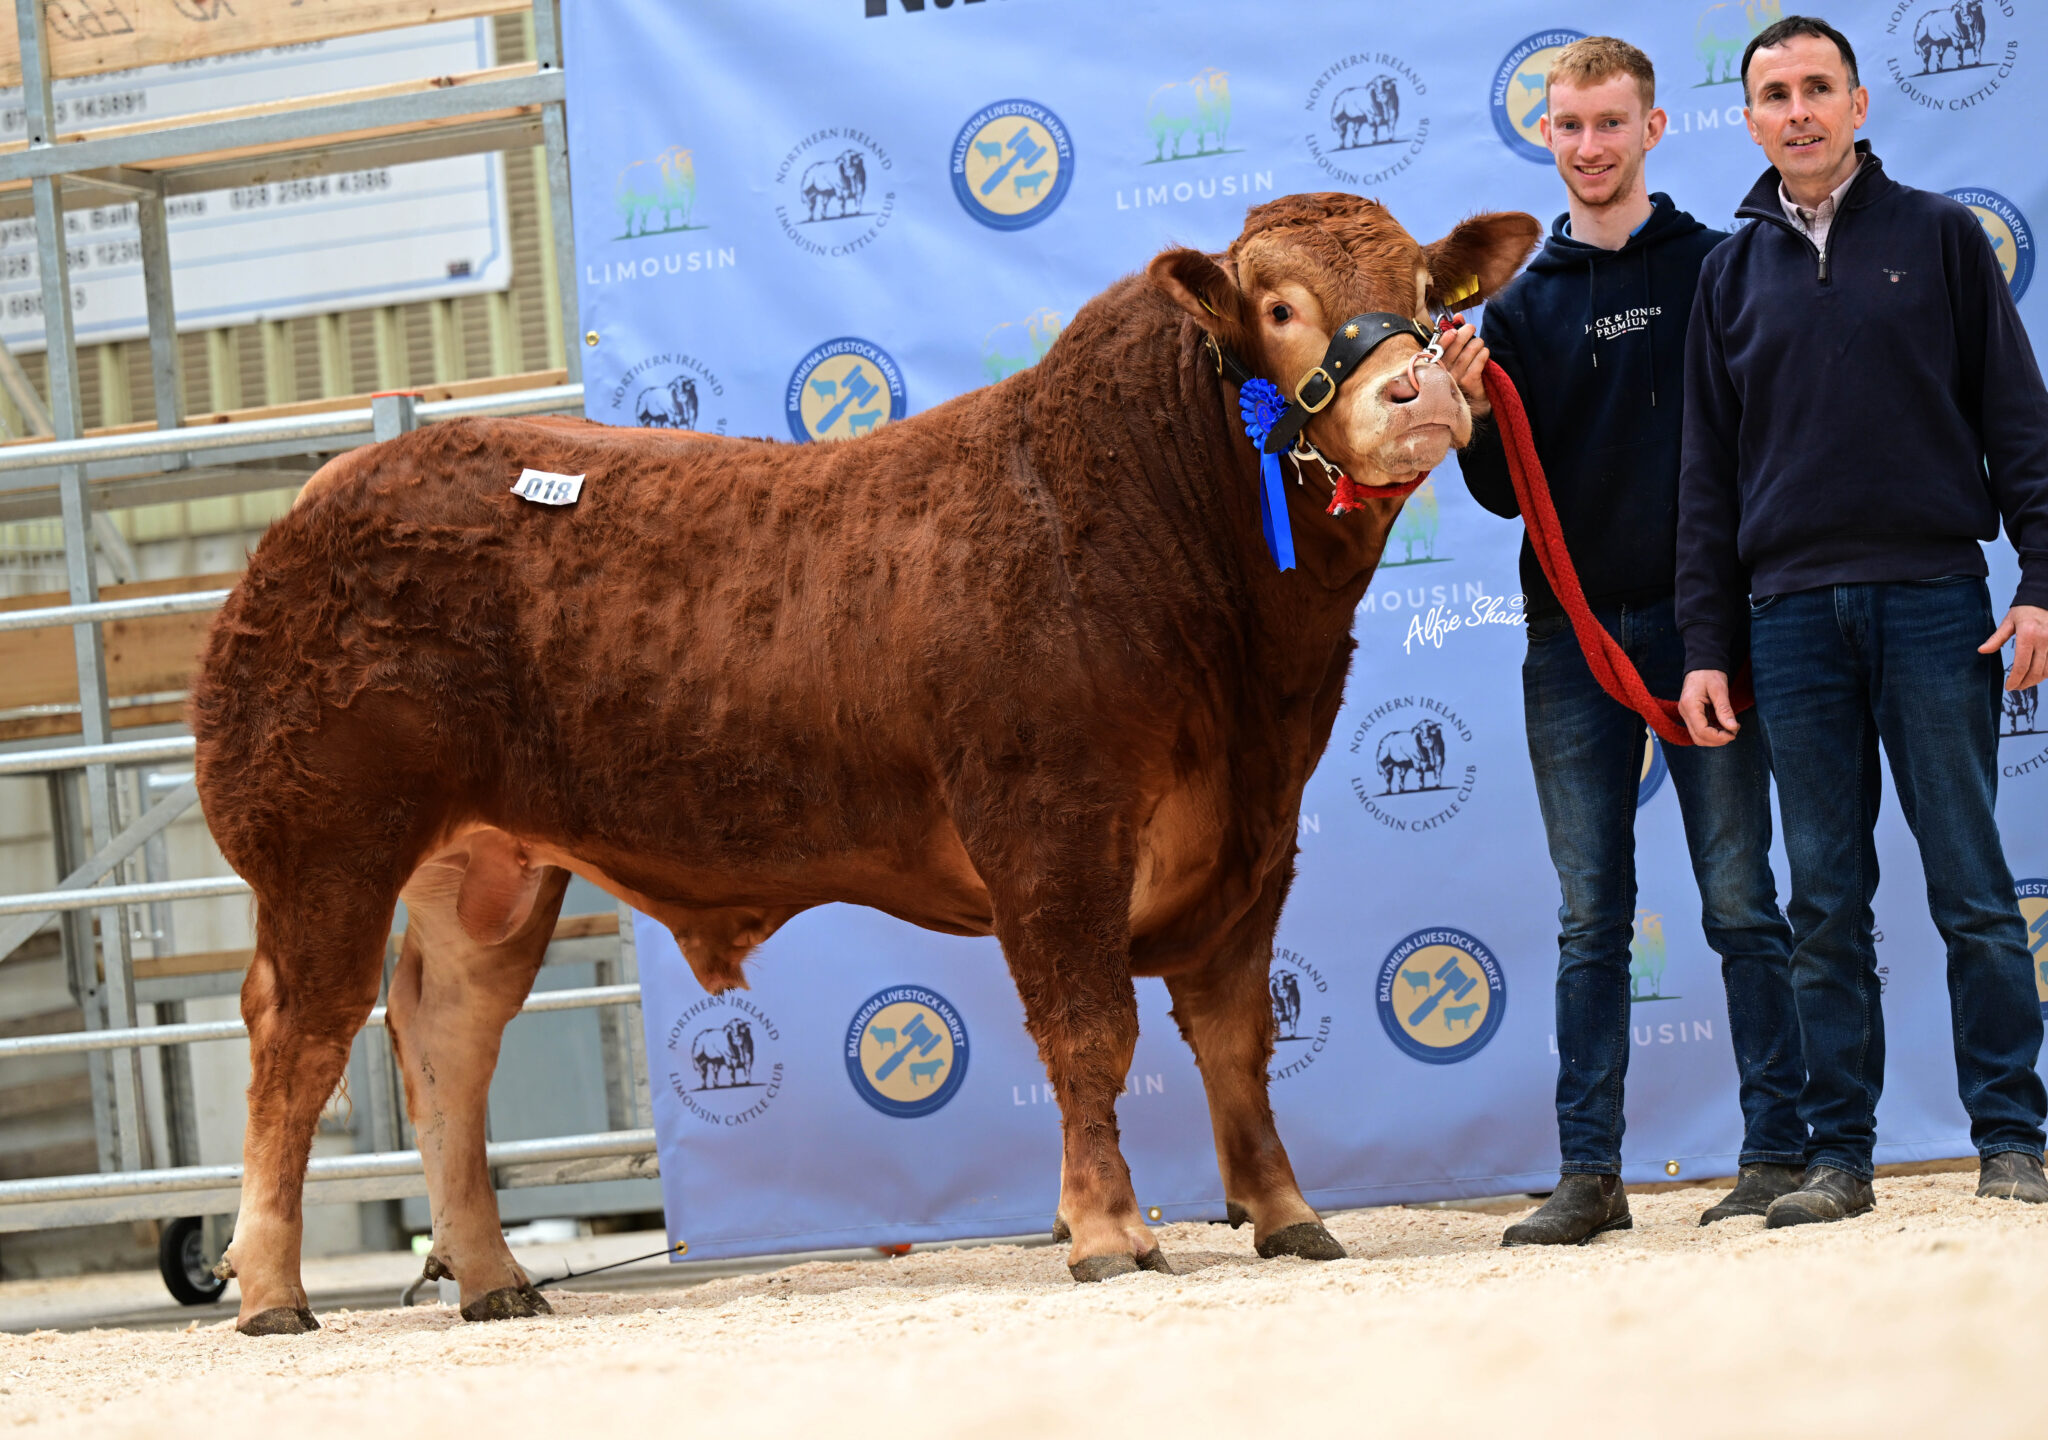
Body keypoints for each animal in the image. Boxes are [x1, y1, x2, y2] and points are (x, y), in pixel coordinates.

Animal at [193, 190, 1540, 1333]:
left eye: (1424, 288)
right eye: (1278, 308)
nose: (1420, 391)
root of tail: (333, 485)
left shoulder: (1256, 836)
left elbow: (1234, 1038)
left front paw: (1287, 1214)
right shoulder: (1049, 824)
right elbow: (1089, 1030)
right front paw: (1107, 1231)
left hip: (488, 869)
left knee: (446, 1037)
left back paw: (492, 1279)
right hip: (327, 845)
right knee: (297, 1039)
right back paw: (270, 1291)